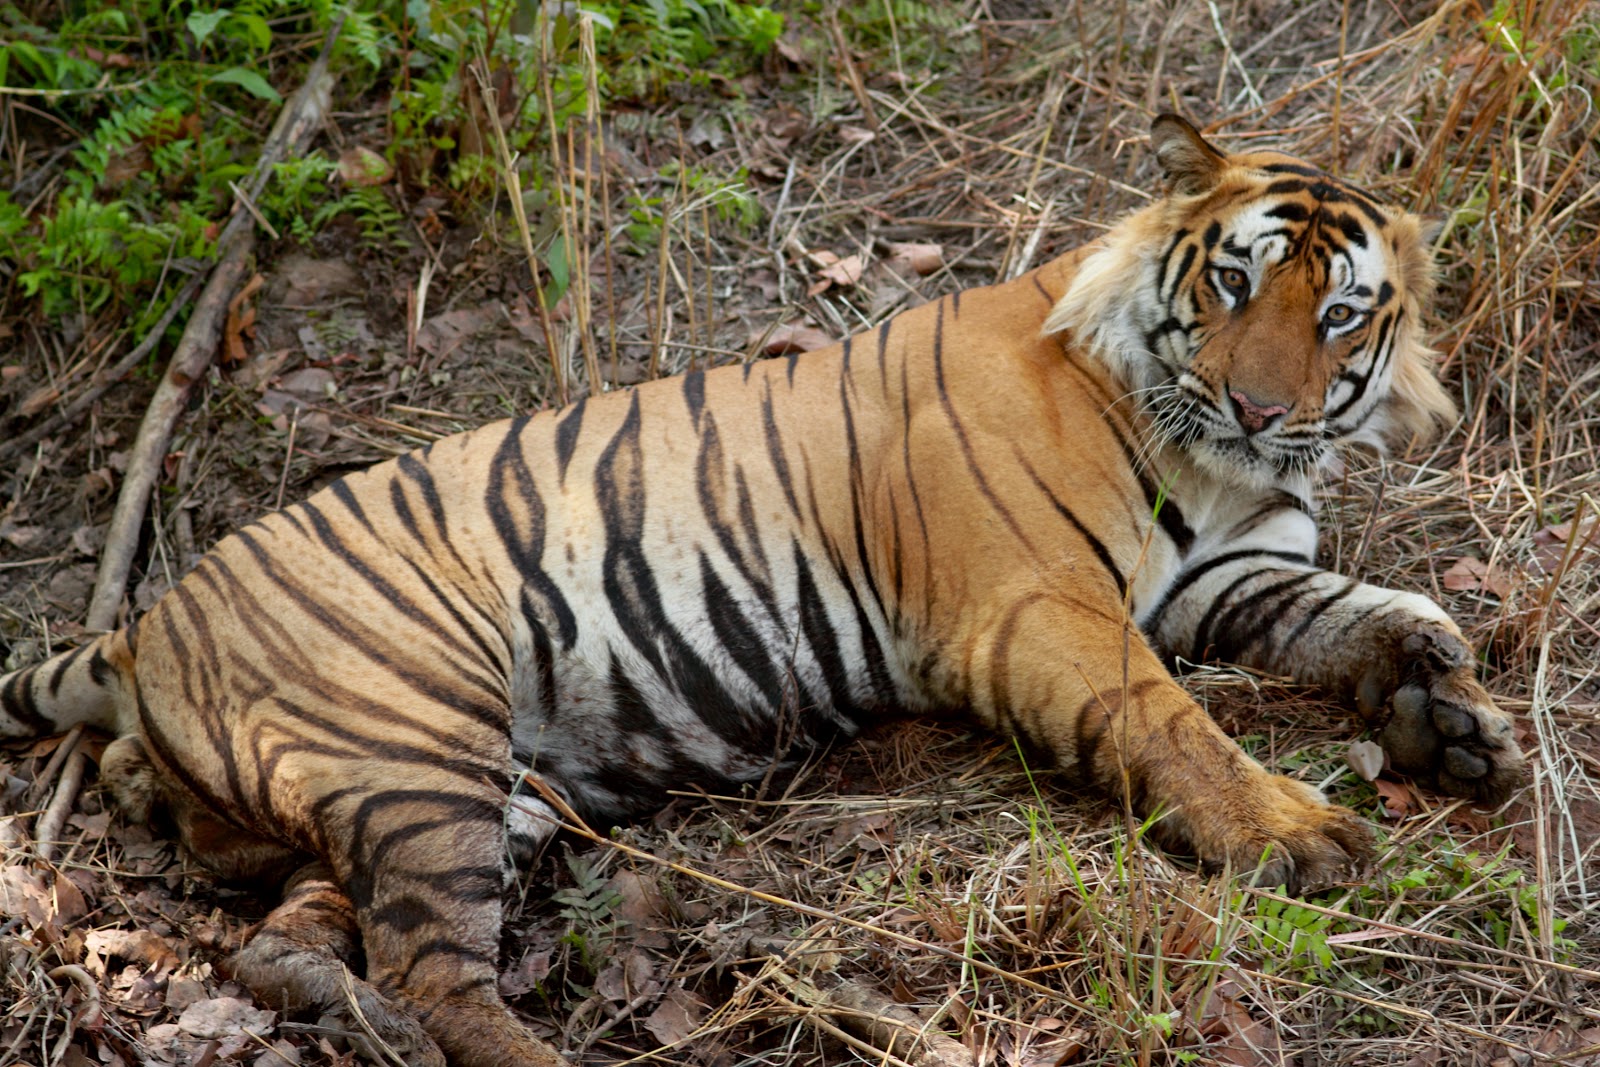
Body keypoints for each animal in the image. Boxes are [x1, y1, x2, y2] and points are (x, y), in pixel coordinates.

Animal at [1, 114, 1525, 1067]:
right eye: (1234, 281)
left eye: (1338, 312)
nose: (1265, 409)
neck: (1208, 462)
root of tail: (140, 621)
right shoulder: (1044, 609)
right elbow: (1176, 723)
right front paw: (1299, 830)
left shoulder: (1233, 572)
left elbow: (1362, 615)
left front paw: (1452, 721)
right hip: (417, 737)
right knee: (436, 974)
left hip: (454, 790)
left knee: (299, 935)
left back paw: (314, 982)